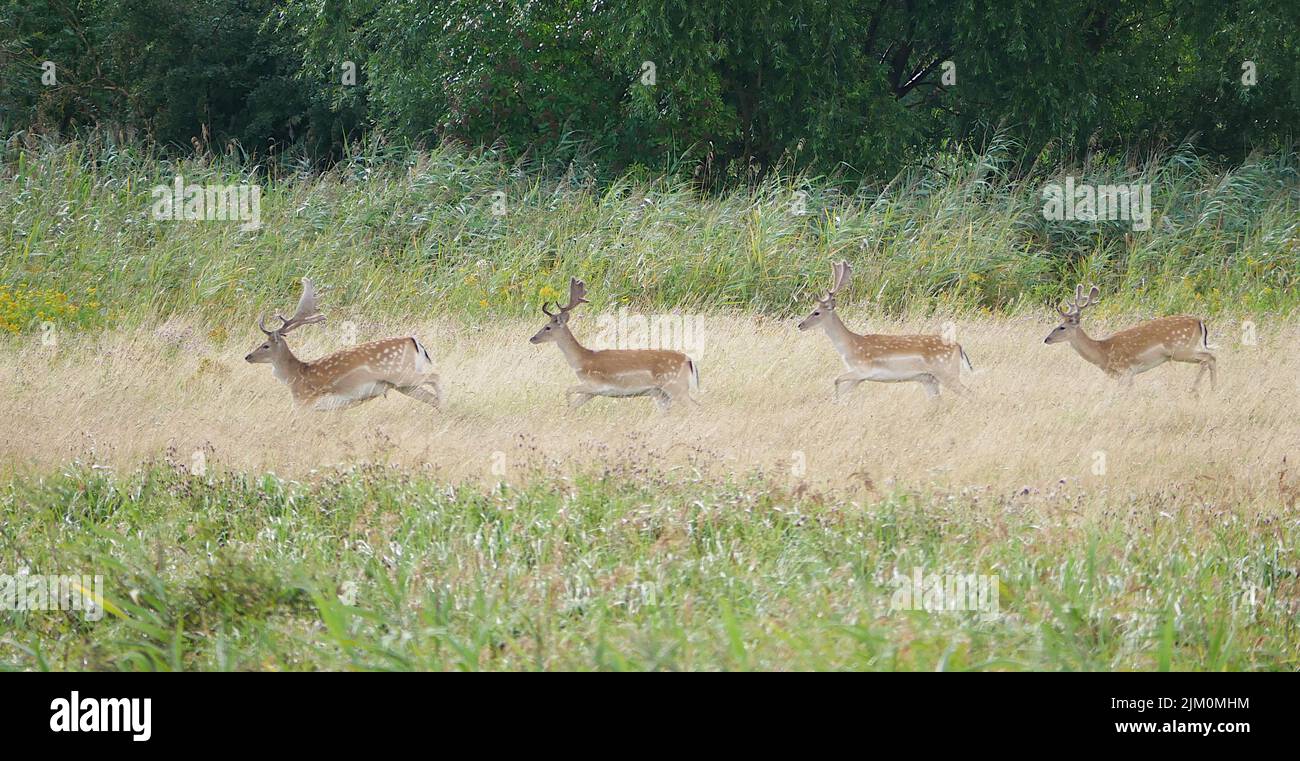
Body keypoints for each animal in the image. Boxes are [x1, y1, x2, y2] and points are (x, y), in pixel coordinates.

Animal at [244, 278, 442, 410]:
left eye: (265, 345)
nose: (248, 356)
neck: (295, 376)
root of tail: (415, 341)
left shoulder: (304, 401)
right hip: (403, 385)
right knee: (430, 396)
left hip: (401, 374)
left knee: (436, 376)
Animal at [529, 278, 699, 411]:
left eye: (547, 327)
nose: (532, 338)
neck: (582, 359)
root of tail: (689, 361)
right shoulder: (592, 392)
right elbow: (573, 405)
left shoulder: (594, 385)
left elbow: (568, 390)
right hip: (662, 394)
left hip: (675, 386)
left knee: (695, 407)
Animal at [798, 261, 972, 400]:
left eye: (816, 312)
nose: (800, 325)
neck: (849, 346)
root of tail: (959, 347)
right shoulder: (859, 377)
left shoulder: (862, 370)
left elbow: (836, 379)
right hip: (929, 379)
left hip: (946, 373)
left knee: (970, 393)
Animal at [1044, 284, 1216, 391]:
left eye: (1062, 327)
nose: (1046, 339)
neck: (1102, 353)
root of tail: (1199, 322)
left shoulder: (1126, 370)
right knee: (1210, 358)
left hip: (1181, 349)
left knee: (1209, 357)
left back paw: (1197, 390)